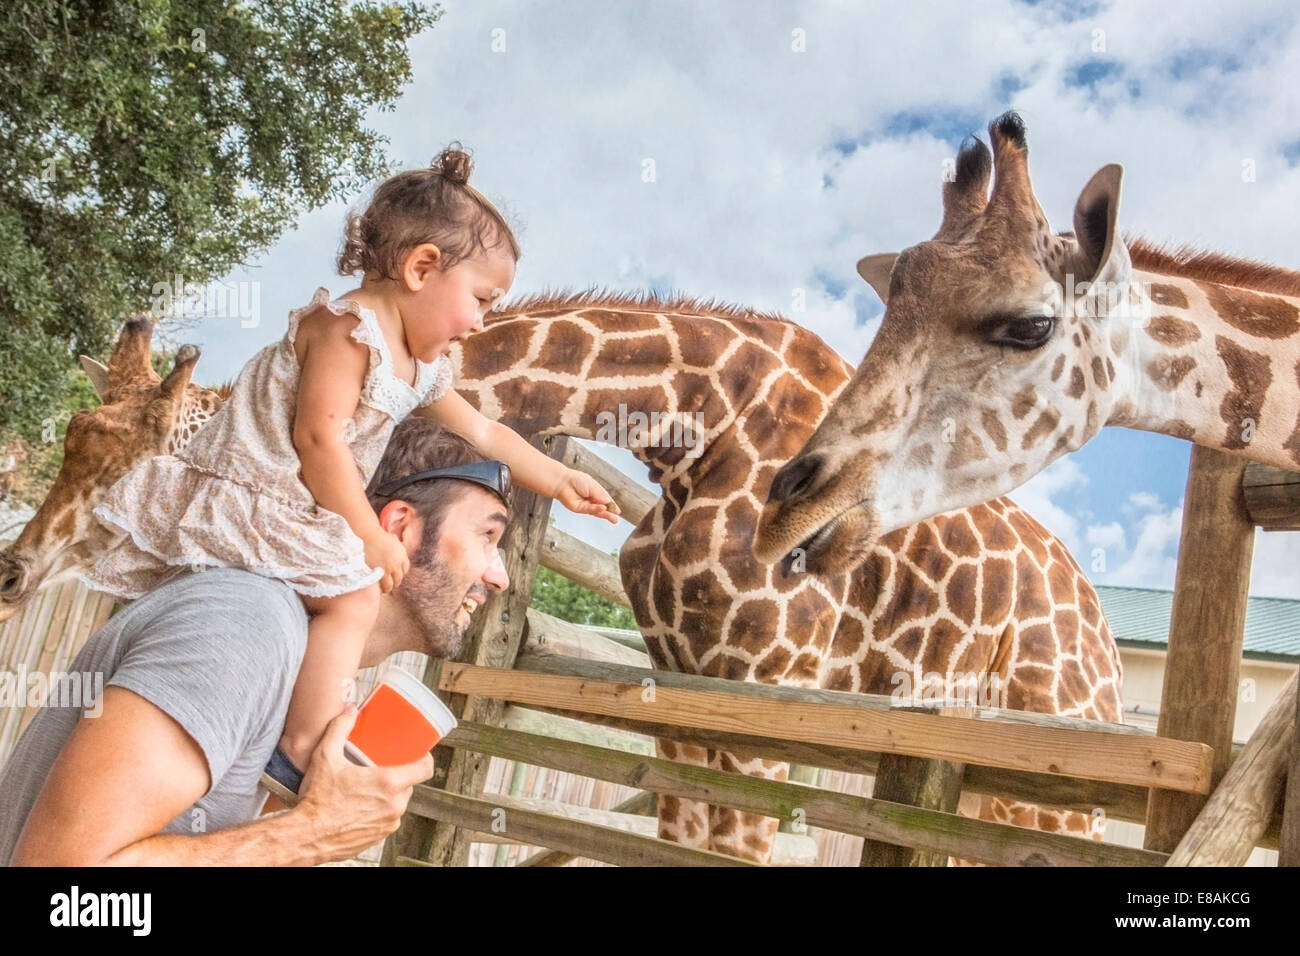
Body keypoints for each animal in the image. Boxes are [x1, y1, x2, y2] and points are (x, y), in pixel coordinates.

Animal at [1, 297, 1123, 864]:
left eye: (143, 459)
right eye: (73, 435)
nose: (15, 567)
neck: (697, 425)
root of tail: (1110, 658)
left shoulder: (773, 695)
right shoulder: (688, 697)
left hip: (1046, 779)